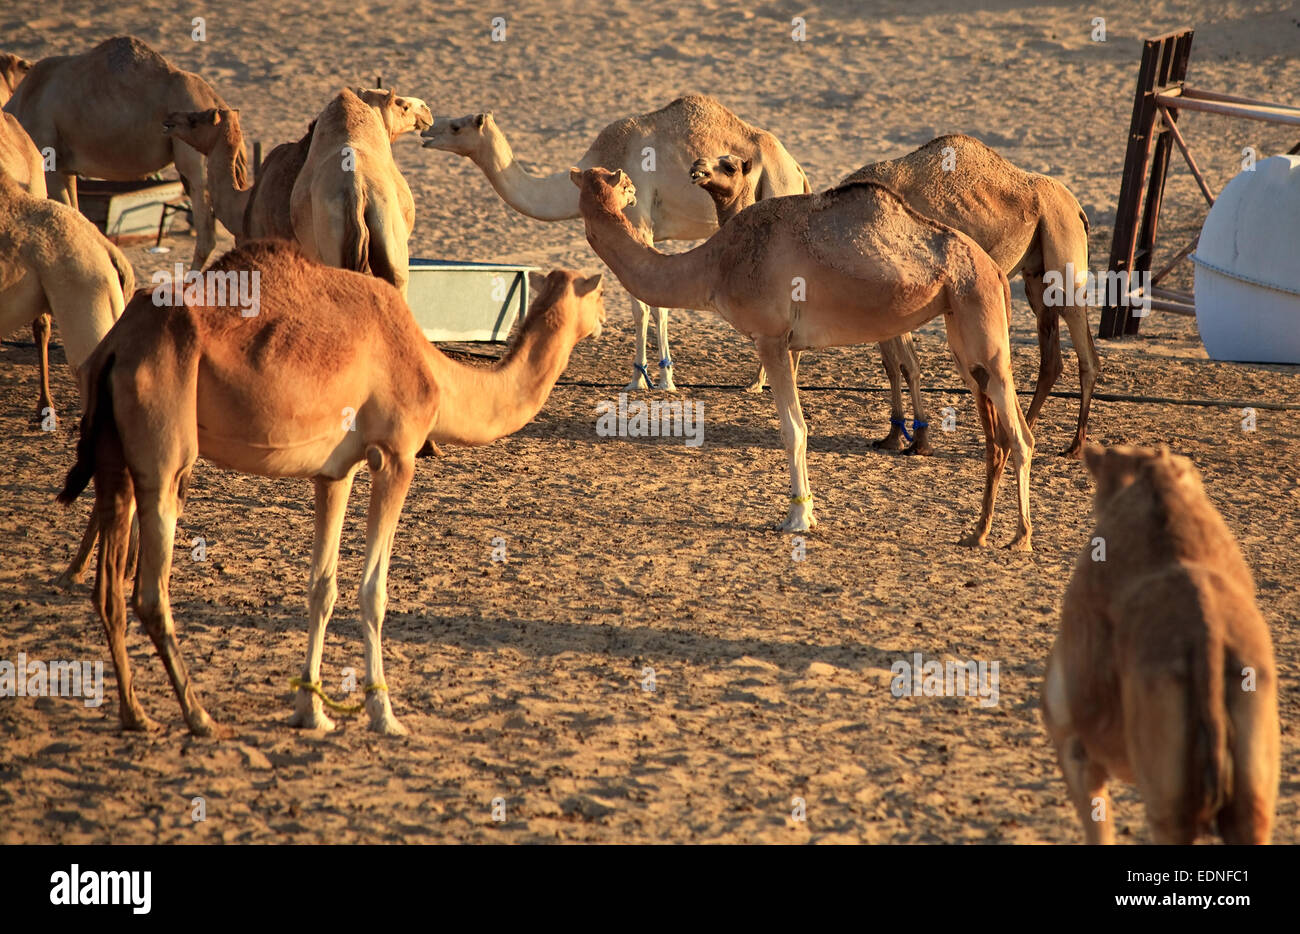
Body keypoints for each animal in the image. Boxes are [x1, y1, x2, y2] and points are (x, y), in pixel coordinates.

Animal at [4, 36, 245, 269]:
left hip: (195, 163)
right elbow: (75, 212)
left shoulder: (49, 162)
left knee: (207, 236)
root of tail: (217, 100)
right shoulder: (66, 170)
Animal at [57, 240, 605, 736]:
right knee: (151, 590)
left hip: (116, 454)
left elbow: (322, 587)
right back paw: (199, 718)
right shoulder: (397, 456)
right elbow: (374, 591)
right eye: (597, 292)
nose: (605, 318)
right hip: (166, 447)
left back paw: (136, 714)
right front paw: (384, 715)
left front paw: (312, 711)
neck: (435, 375)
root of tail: (115, 347)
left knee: (109, 586)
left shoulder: (336, 472)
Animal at [421, 94, 809, 391]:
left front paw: (652, 381)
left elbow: (646, 307)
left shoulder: (638, 219)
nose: (427, 130)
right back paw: (762, 379)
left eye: (457, 126)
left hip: (775, 189)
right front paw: (649, 377)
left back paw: (759, 381)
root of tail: (794, 166)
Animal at [691, 154, 932, 455]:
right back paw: (896, 437)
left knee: (908, 363)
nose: (697, 166)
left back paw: (916, 441)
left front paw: (766, 384)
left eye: (729, 166)